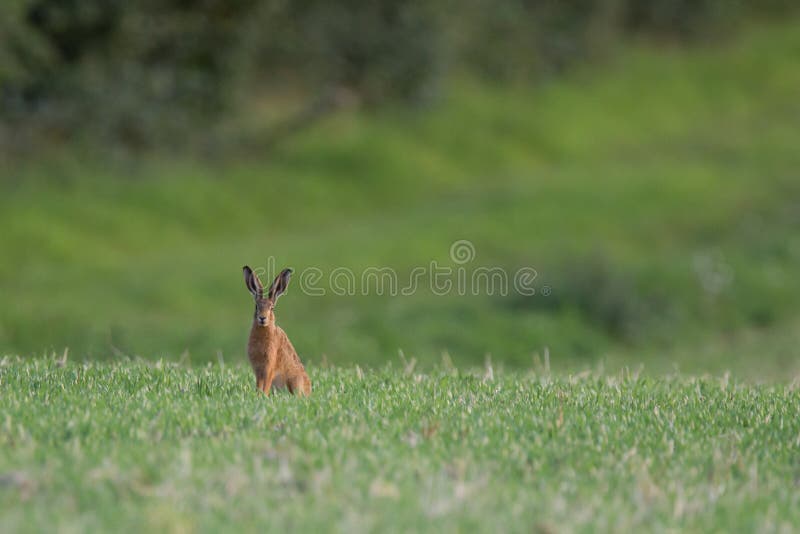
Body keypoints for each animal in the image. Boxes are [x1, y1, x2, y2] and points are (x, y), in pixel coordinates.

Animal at [243, 266, 311, 396]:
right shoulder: (258, 370)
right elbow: (259, 384)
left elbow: (266, 384)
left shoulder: (269, 366)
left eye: (272, 308)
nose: (262, 318)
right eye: (256, 307)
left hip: (294, 380)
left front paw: (263, 396)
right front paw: (258, 395)